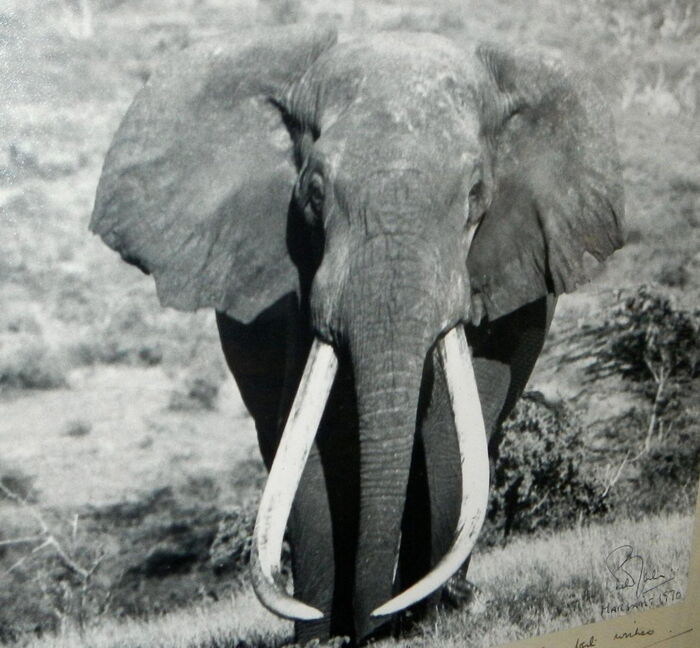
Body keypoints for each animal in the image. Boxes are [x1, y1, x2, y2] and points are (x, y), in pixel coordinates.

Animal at [90, 25, 624, 644]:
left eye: (475, 195)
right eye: (315, 192)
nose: (375, 624)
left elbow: (449, 435)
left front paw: (422, 619)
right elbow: (314, 436)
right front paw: (322, 633)